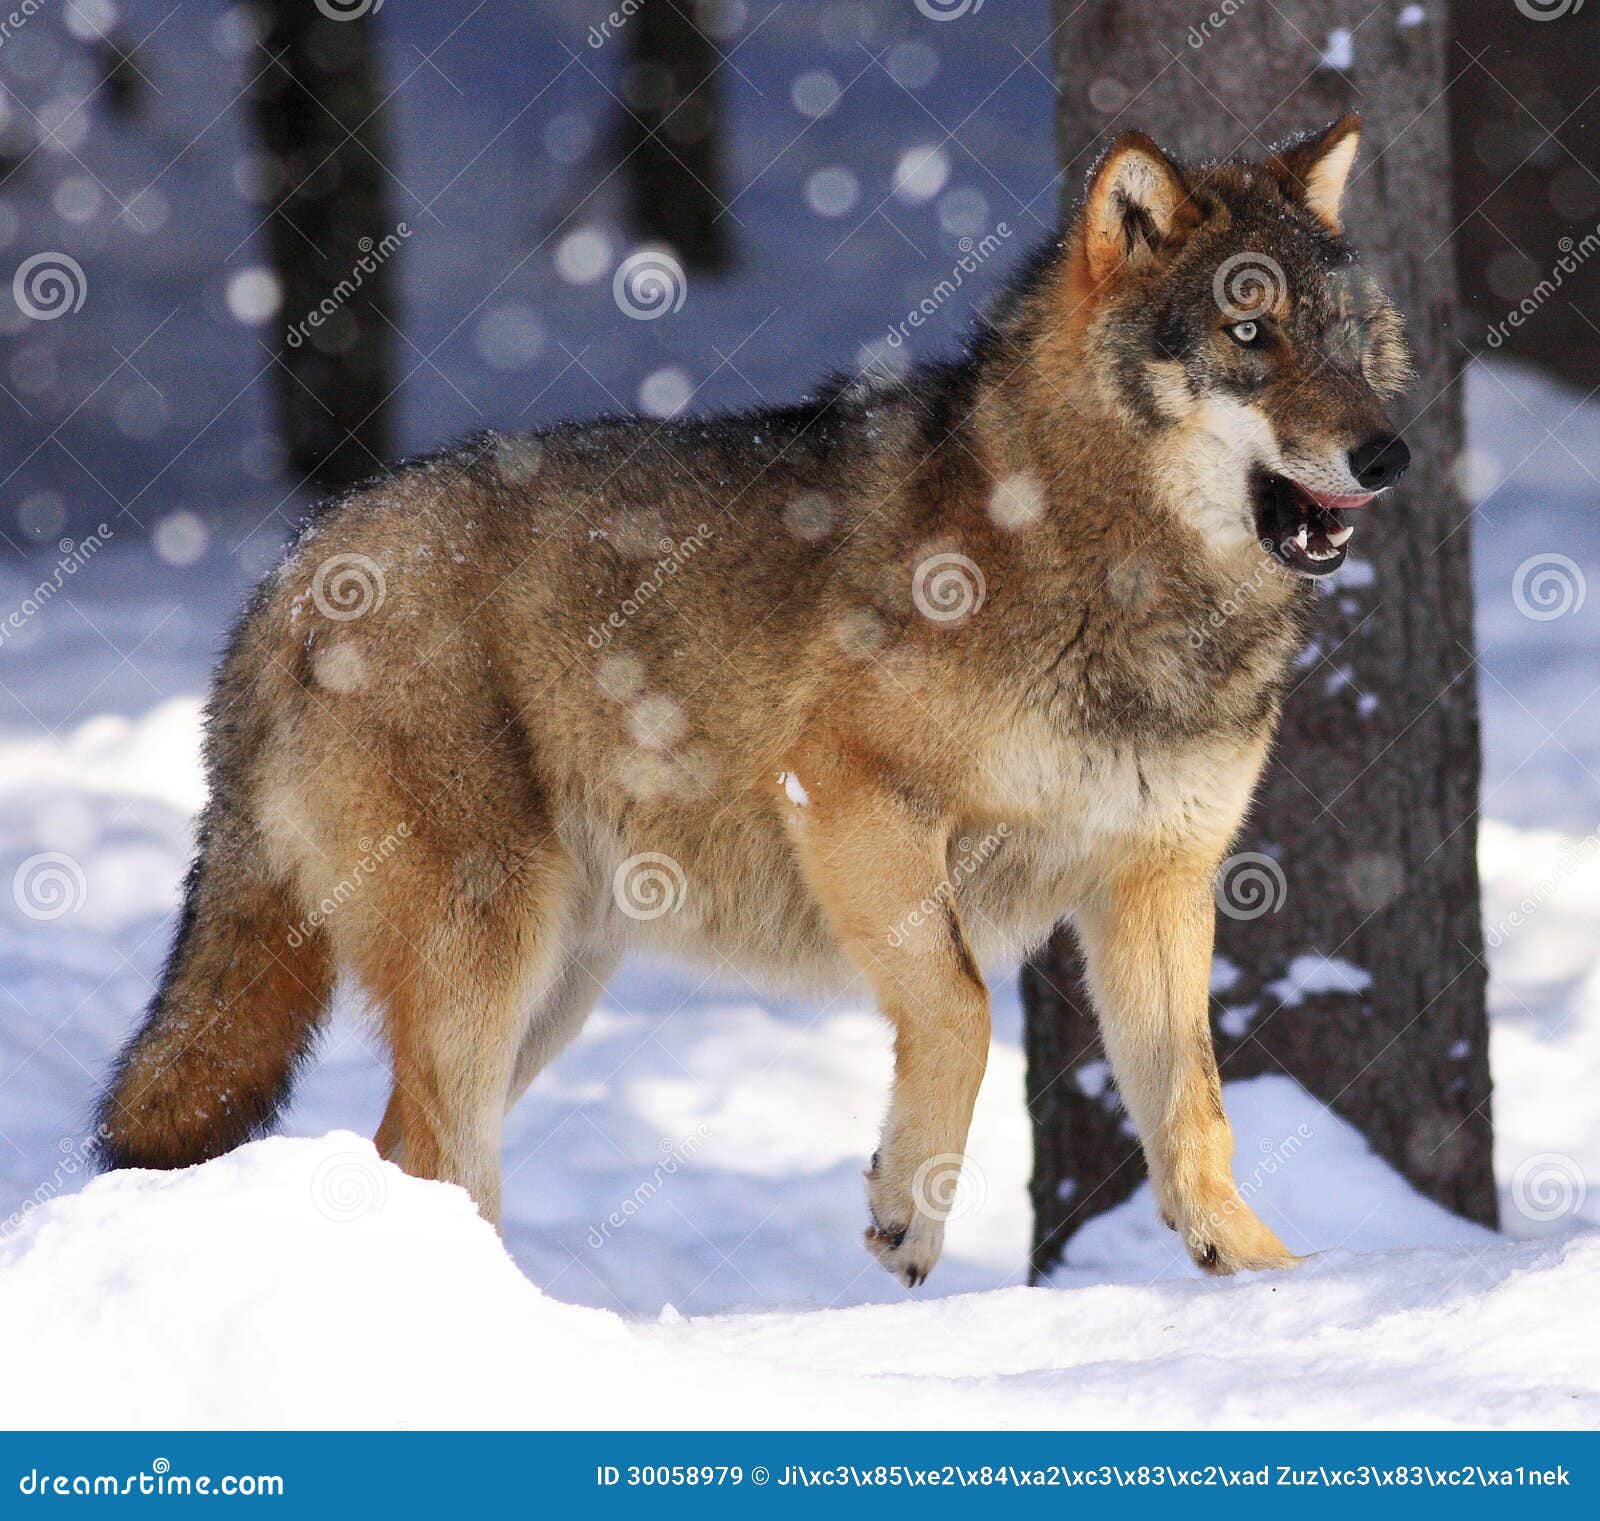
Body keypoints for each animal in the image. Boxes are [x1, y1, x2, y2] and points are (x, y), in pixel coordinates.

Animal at [96, 115, 1411, 1287]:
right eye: (1250, 333)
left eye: (1352, 340)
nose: (1390, 455)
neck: (1112, 569)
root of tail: (291, 569)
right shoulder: (846, 794)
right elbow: (962, 1009)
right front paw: (906, 1215)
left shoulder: (1158, 877)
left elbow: (1193, 1102)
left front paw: (1264, 1273)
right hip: (489, 957)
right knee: (435, 1147)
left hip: (554, 981)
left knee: (400, 1151)